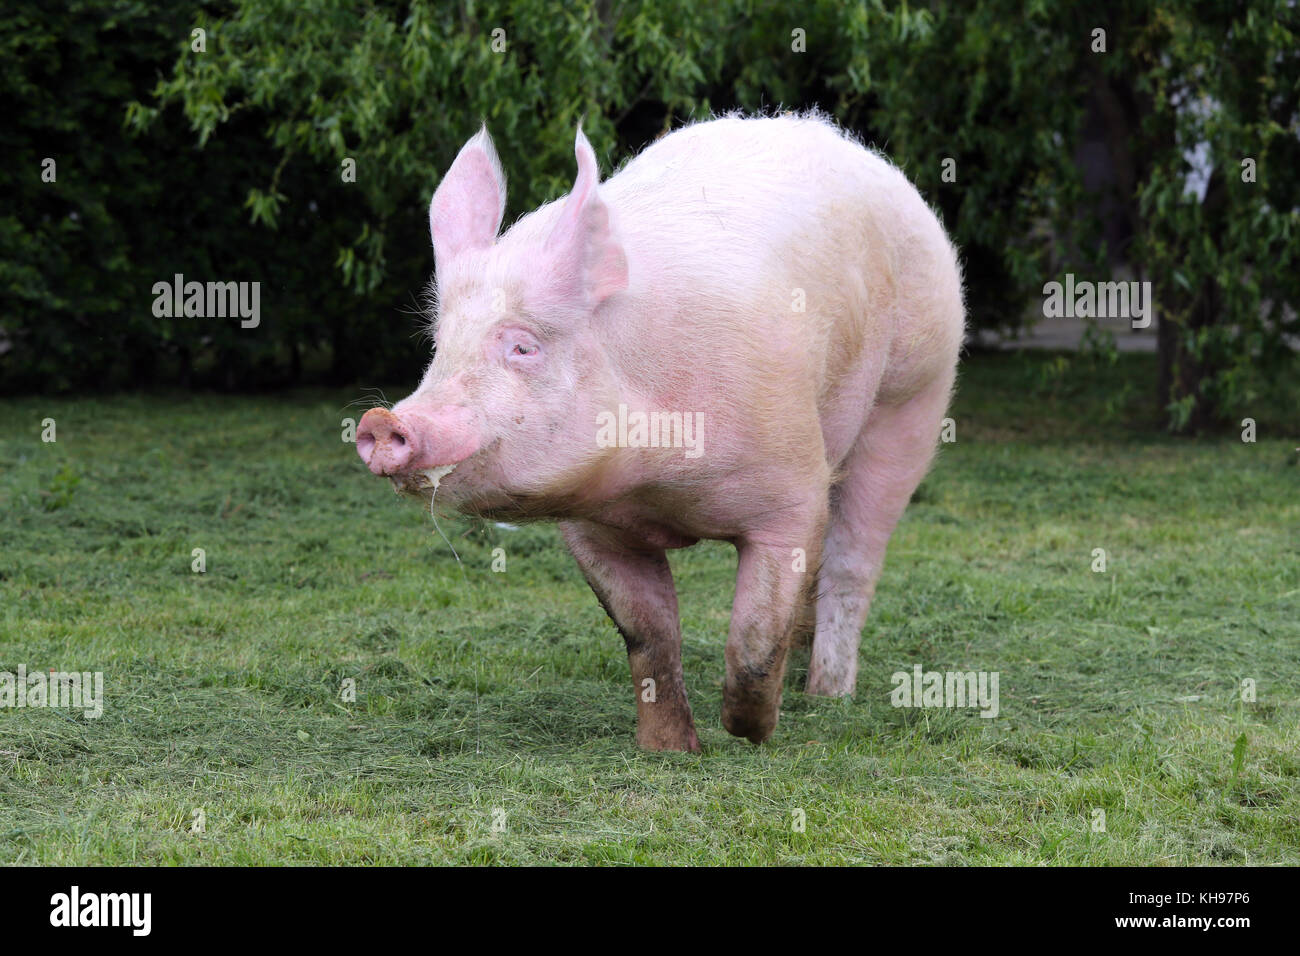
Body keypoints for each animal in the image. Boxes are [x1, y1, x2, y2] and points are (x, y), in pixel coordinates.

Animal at [357, 111, 964, 752]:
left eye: (523, 346)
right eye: (439, 347)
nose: (381, 421)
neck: (655, 483)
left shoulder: (791, 487)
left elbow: (752, 637)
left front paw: (749, 733)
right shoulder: (595, 530)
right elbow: (646, 635)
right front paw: (669, 748)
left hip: (913, 396)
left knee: (855, 560)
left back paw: (827, 694)